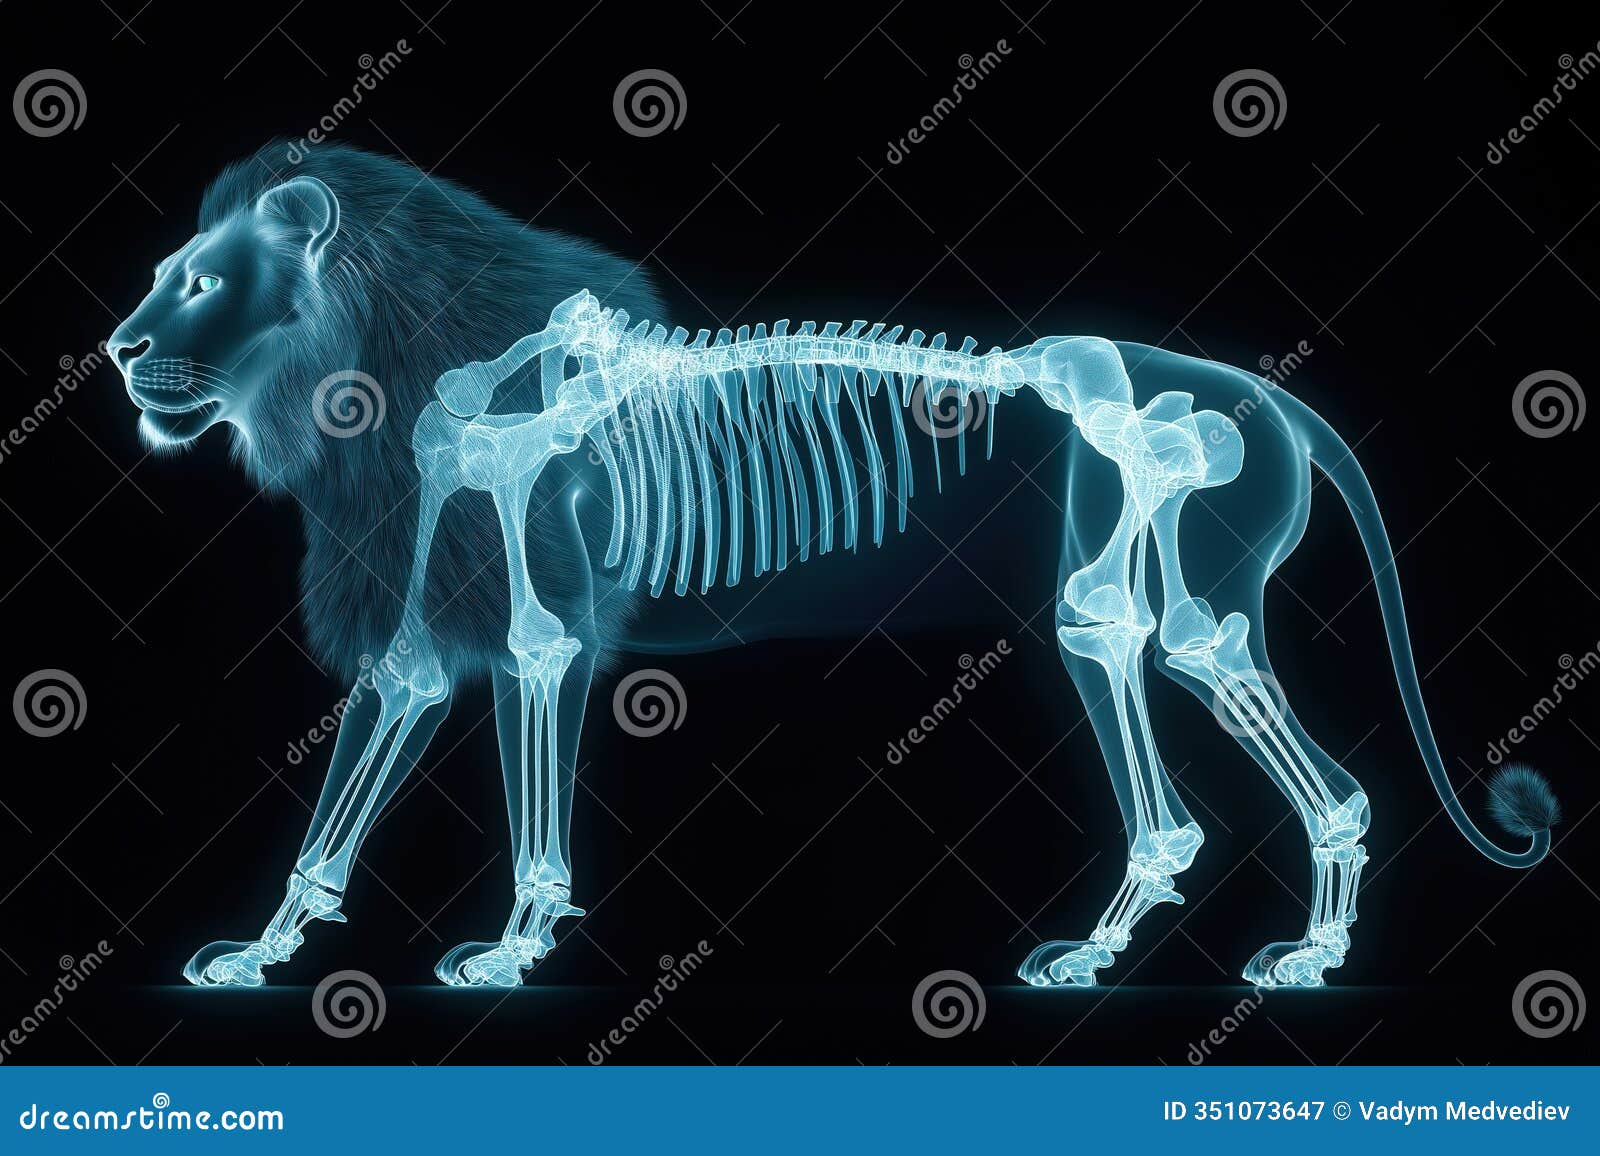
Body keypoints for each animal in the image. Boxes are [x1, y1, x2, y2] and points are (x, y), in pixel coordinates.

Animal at [110, 143, 1558, 989]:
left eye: (201, 284)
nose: (119, 353)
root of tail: (1270, 400)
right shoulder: (417, 595)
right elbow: (369, 744)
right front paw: (253, 952)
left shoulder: (539, 606)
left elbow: (530, 724)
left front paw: (512, 950)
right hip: (1134, 585)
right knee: (1148, 695)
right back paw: (1135, 951)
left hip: (1184, 578)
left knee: (1211, 694)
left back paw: (1285, 956)